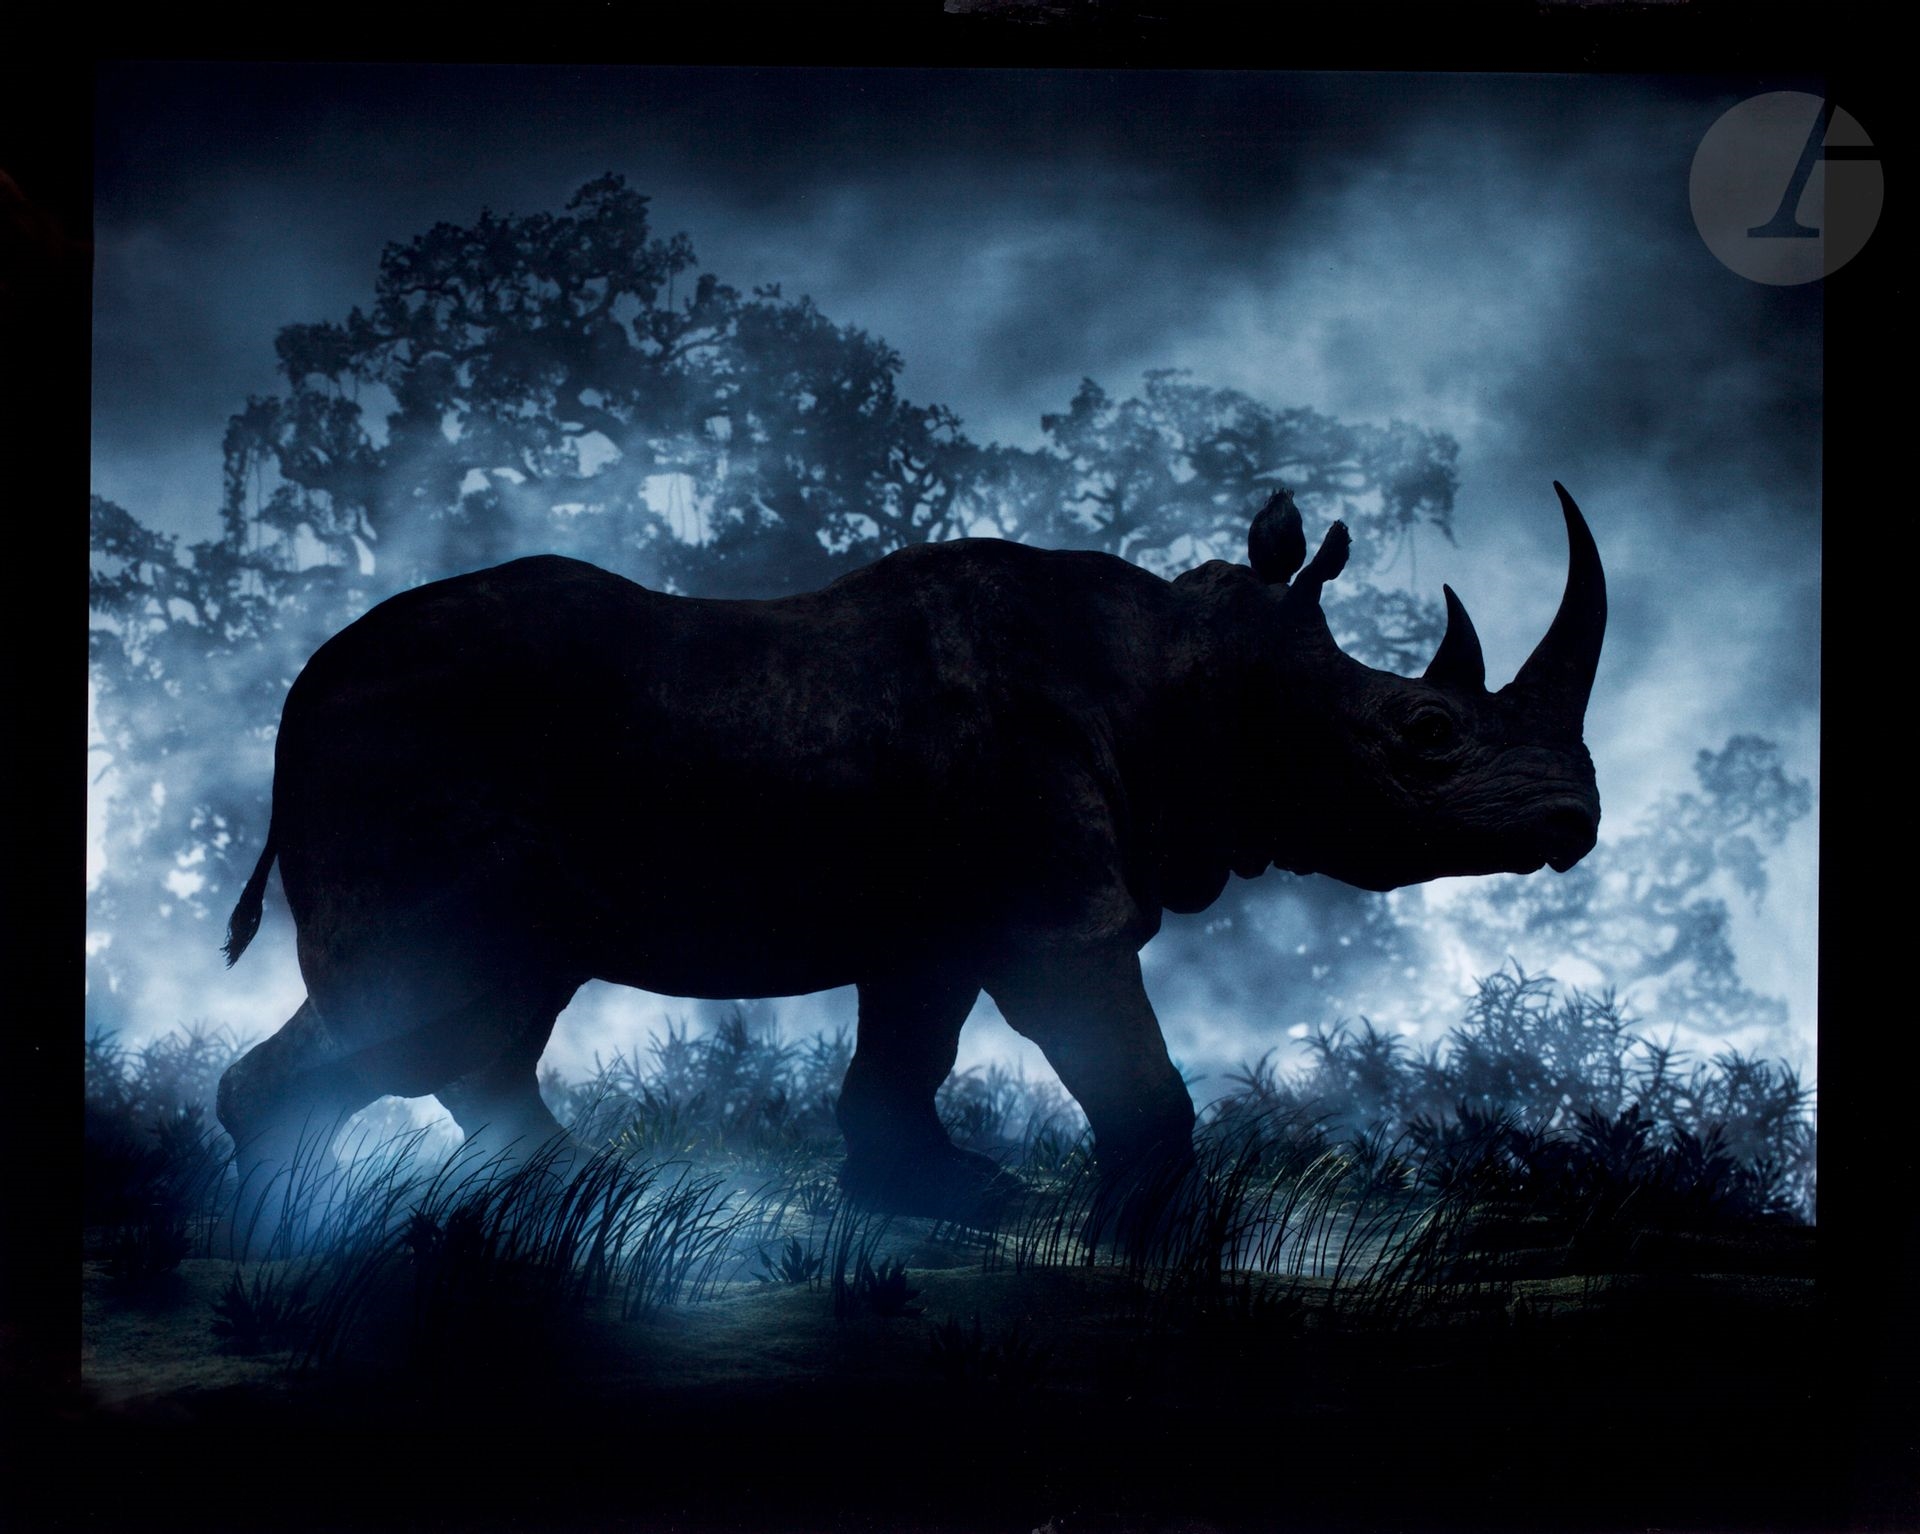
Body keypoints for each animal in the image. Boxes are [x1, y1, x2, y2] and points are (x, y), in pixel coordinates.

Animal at [217, 484, 1604, 1215]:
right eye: (1424, 733)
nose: (1575, 819)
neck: (1202, 669)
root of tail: (294, 698)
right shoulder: (1054, 909)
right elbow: (1123, 1066)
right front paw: (1156, 1235)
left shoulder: (936, 917)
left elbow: (907, 1052)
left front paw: (948, 1199)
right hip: (410, 753)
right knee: (436, 1006)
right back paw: (293, 1235)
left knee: (487, 1011)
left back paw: (586, 1206)